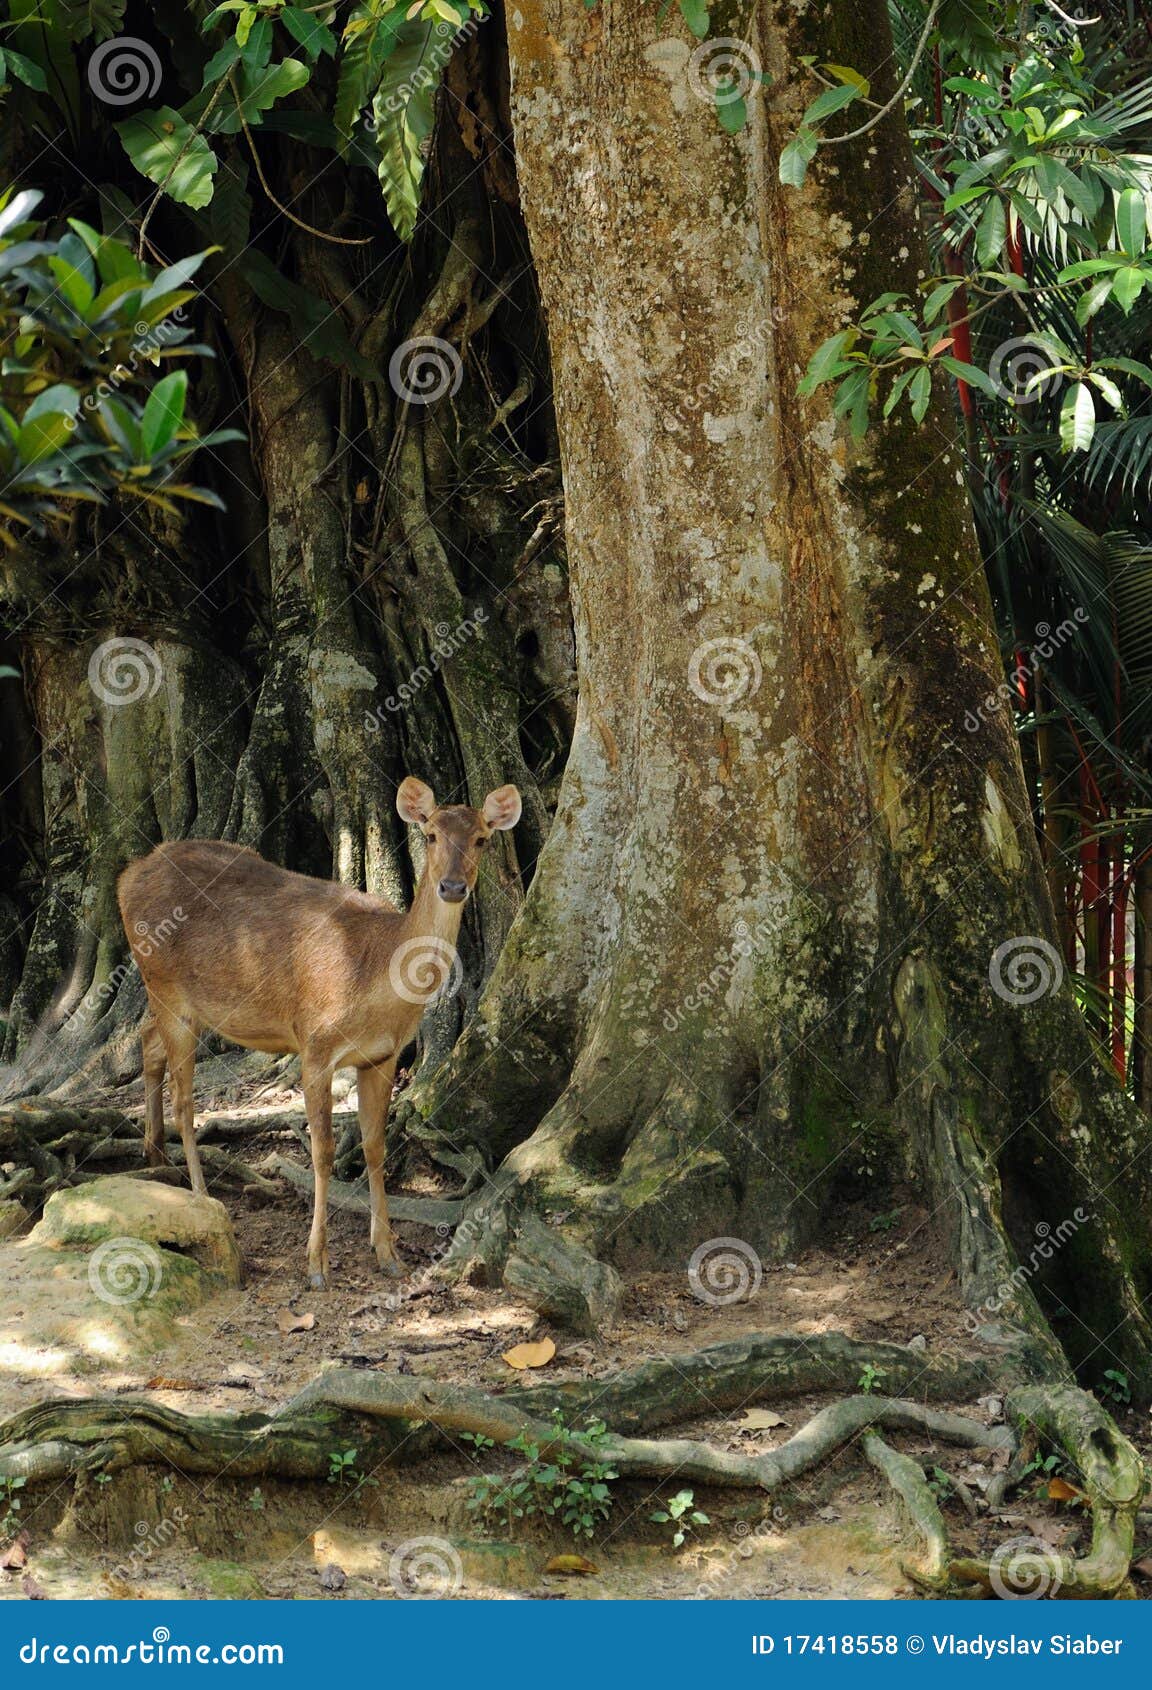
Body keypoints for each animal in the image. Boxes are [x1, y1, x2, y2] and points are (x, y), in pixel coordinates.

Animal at [116, 776, 522, 1288]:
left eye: (482, 838)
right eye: (430, 835)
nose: (452, 886)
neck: (374, 977)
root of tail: (126, 876)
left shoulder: (383, 1056)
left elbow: (374, 1147)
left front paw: (388, 1252)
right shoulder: (314, 1044)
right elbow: (324, 1151)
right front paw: (316, 1264)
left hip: (172, 999)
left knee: (147, 1043)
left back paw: (153, 1157)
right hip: (168, 987)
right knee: (185, 1102)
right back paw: (201, 1194)